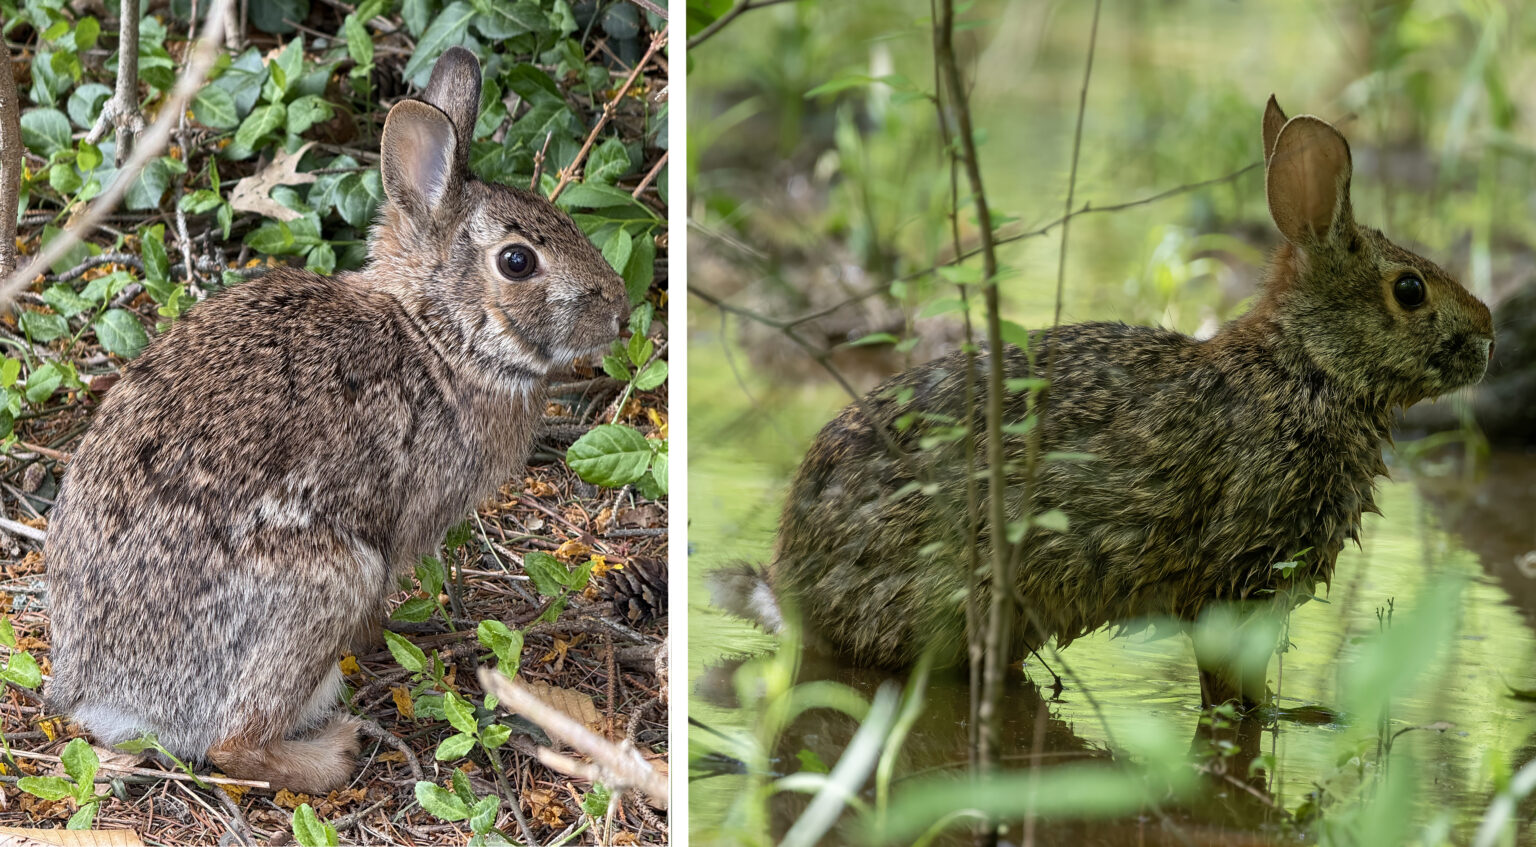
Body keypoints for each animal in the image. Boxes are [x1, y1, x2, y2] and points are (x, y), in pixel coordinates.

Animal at [43, 46, 629, 793]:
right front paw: (391, 640)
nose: (620, 311)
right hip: (325, 580)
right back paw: (333, 753)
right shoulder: (399, 530)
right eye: (518, 261)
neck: (435, 336)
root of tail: (101, 695)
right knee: (234, 743)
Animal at [712, 96, 1494, 709]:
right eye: (1409, 290)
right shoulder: (1234, 576)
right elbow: (1227, 689)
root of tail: (791, 588)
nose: (1488, 336)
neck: (1305, 367)